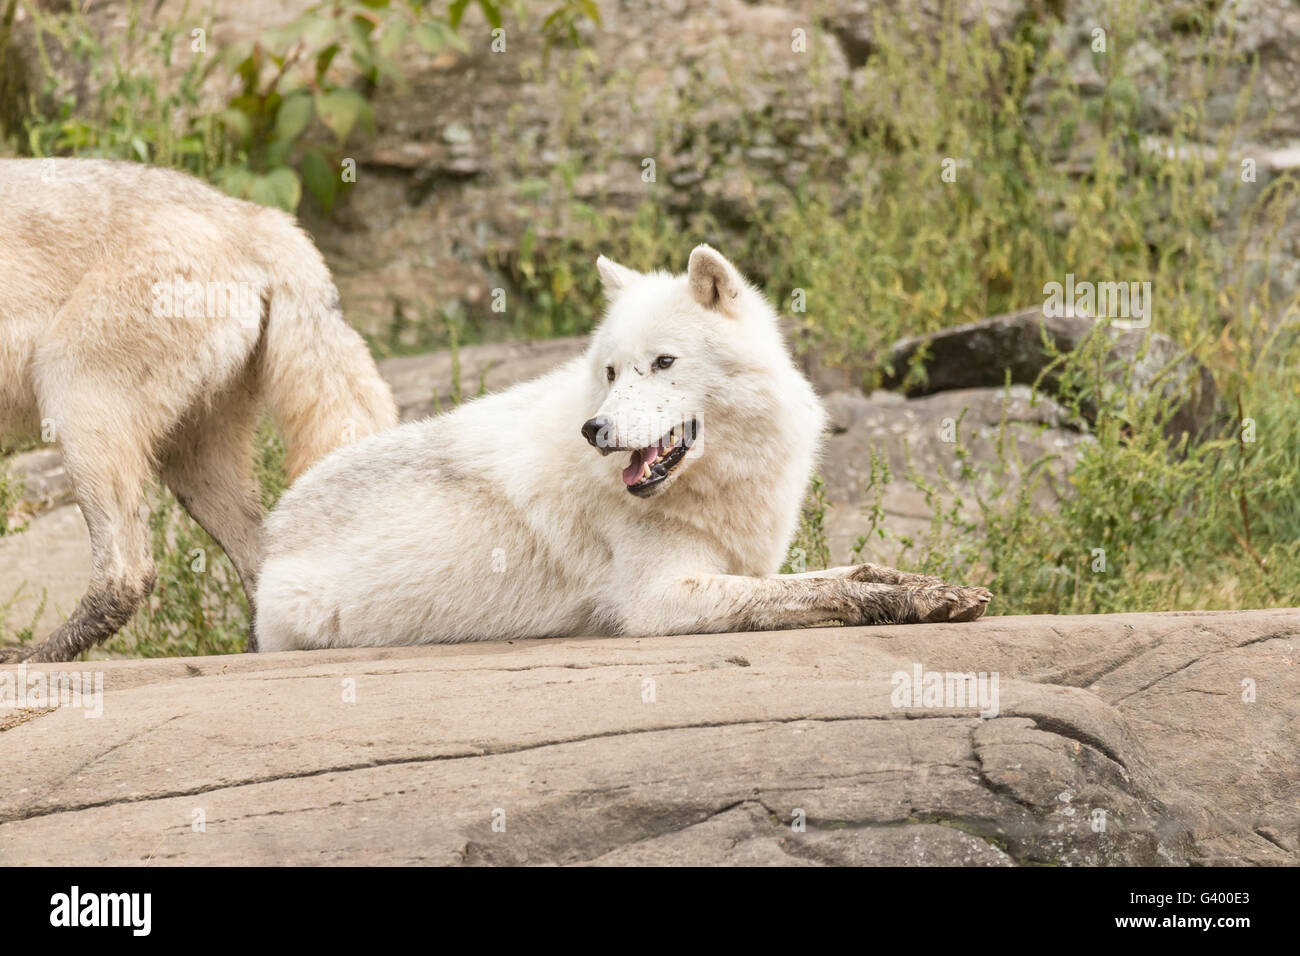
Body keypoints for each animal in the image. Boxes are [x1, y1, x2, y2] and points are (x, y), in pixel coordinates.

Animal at [0, 158, 397, 662]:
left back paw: (33, 657)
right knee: (255, 559)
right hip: (189, 462)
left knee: (129, 572)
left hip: (73, 393)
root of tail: (251, 215)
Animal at [255, 245, 990, 652]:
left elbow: (842, 572)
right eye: (610, 372)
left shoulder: (739, 562)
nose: (596, 430)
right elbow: (804, 596)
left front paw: (932, 589)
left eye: (663, 363)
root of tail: (273, 534)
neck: (722, 485)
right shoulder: (658, 599)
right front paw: (896, 602)